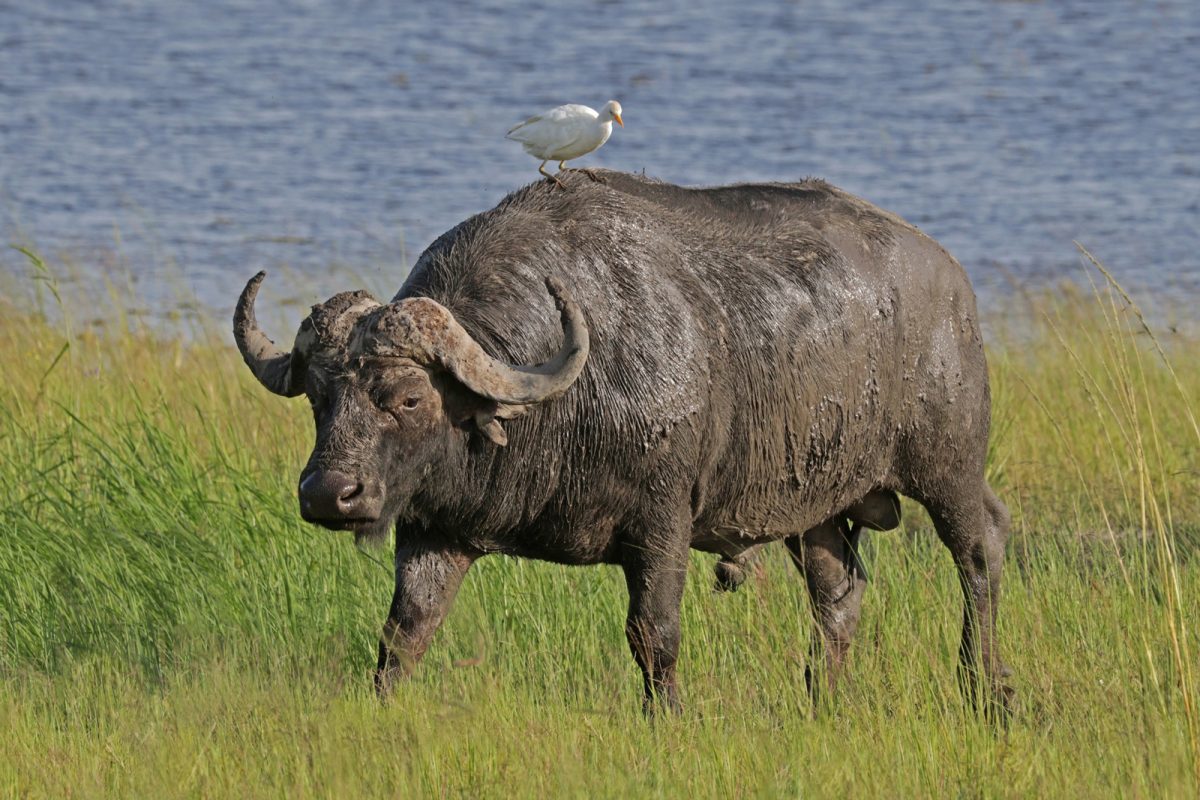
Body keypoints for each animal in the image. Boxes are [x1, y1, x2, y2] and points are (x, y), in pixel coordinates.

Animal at [233, 170, 1012, 712]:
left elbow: (653, 634)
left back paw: (986, 688)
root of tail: (950, 278)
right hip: (813, 507)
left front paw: (666, 716)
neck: (561, 402)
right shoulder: (435, 530)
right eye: (319, 397)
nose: (328, 494)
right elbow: (405, 632)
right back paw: (821, 699)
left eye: (407, 398)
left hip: (948, 467)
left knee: (980, 553)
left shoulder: (662, 525)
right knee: (838, 594)